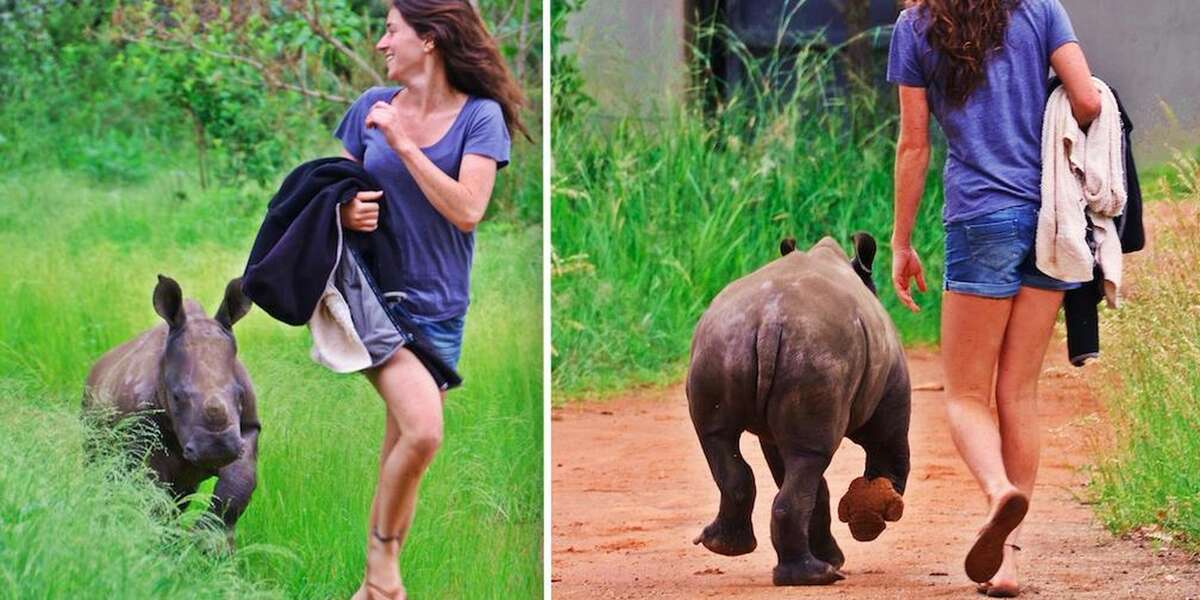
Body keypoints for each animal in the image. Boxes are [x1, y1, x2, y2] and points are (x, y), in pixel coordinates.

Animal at [83, 275, 259, 544]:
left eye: (239, 395)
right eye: (176, 397)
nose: (216, 449)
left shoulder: (248, 429)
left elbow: (238, 483)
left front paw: (209, 543)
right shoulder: (139, 430)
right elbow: (152, 494)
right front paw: (157, 542)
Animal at [687, 233, 911, 586]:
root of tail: (768, 321)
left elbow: (796, 470)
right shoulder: (891, 393)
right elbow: (888, 450)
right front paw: (871, 519)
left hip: (720, 342)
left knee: (721, 440)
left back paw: (725, 547)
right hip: (816, 352)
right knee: (811, 455)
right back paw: (817, 576)